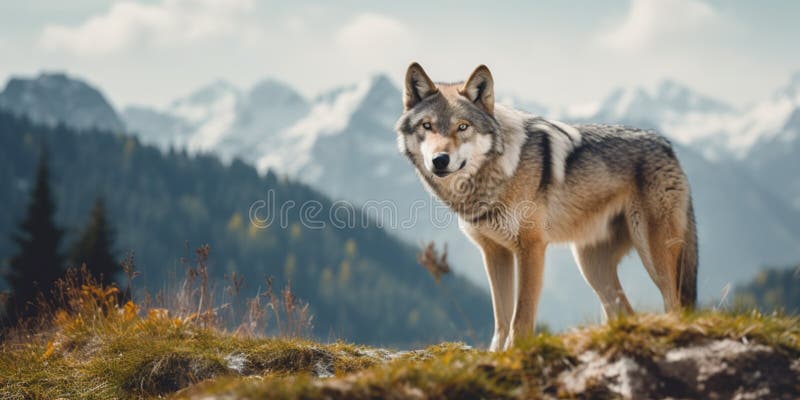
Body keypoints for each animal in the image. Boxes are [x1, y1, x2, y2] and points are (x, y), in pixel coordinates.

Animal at [395, 63, 698, 351]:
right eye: (427, 126)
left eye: (462, 127)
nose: (440, 160)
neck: (498, 175)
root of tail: (667, 145)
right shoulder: (494, 253)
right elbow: (501, 320)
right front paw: (497, 355)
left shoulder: (531, 248)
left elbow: (521, 317)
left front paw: (516, 353)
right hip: (591, 266)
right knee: (625, 312)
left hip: (654, 257)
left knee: (674, 305)